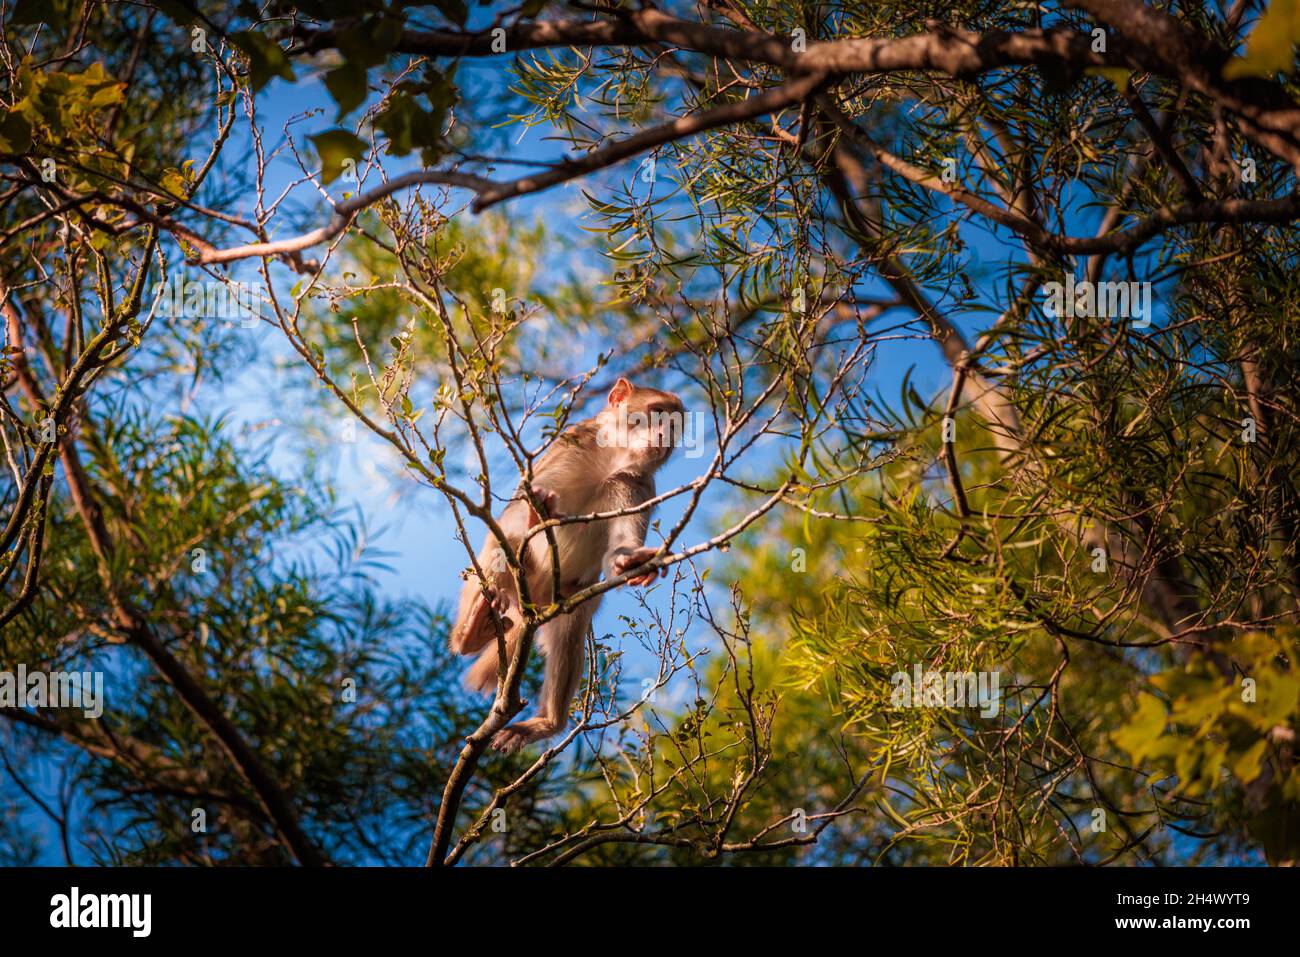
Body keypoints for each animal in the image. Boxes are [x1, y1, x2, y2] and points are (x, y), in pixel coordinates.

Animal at [449, 377, 685, 752]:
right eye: (657, 413)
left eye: (675, 425)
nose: (665, 436)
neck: (611, 459)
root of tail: (531, 606)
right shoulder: (571, 444)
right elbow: (512, 521)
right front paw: (536, 515)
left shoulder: (636, 484)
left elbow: (618, 548)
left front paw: (632, 559)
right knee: (504, 546)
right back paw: (470, 635)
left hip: (563, 598)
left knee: (573, 623)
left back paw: (546, 723)